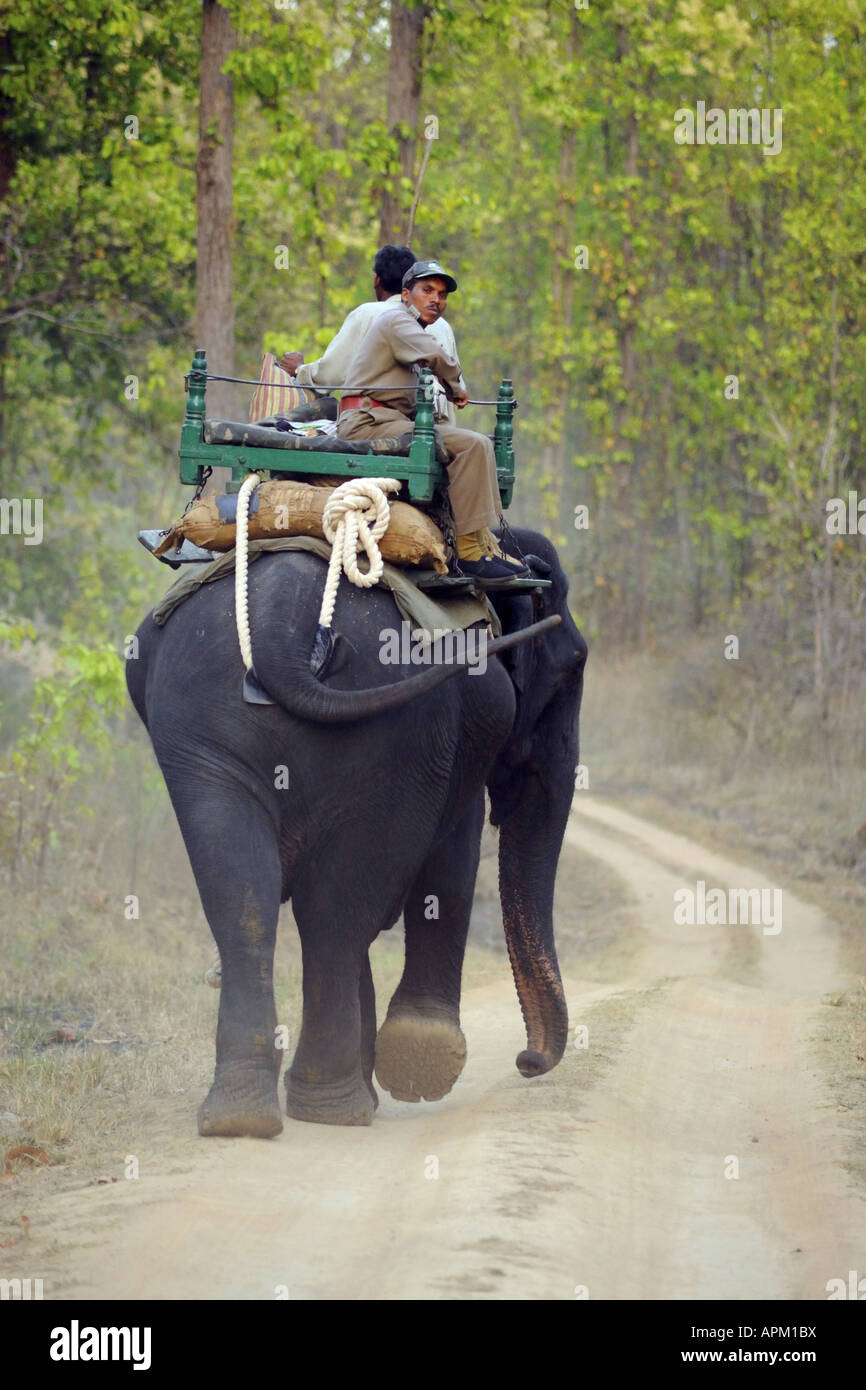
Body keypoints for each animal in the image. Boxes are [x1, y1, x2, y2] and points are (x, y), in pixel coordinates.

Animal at [126, 527, 587, 1137]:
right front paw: (420, 1064)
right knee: (332, 912)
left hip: (203, 730)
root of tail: (278, 628)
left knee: (247, 894)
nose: (526, 1062)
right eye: (574, 665)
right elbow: (451, 868)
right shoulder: (467, 732)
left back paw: (248, 1116)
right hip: (399, 734)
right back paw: (331, 1107)